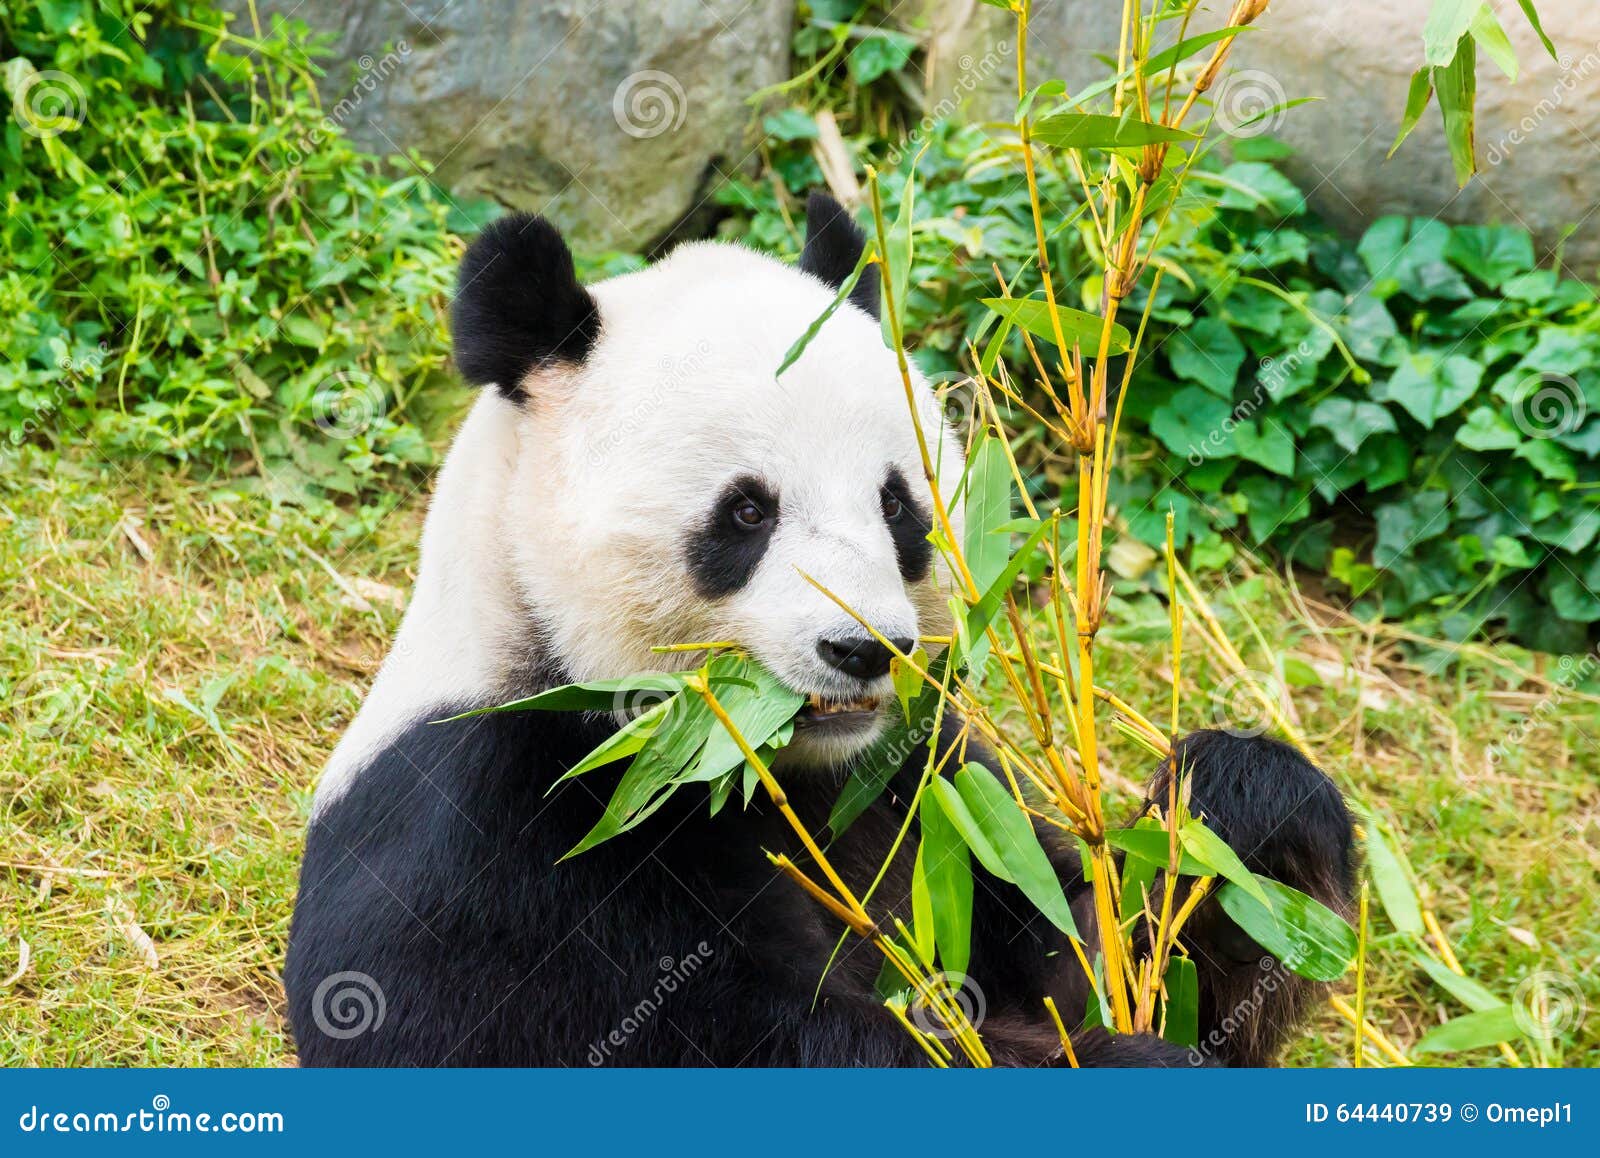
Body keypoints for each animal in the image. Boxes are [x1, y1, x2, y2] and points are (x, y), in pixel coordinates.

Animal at [284, 193, 1355, 1067]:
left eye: (898, 505)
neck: (757, 769)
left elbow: (1096, 944)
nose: (865, 649)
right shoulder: (501, 826)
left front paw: (1243, 813)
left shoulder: (926, 785)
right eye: (746, 513)